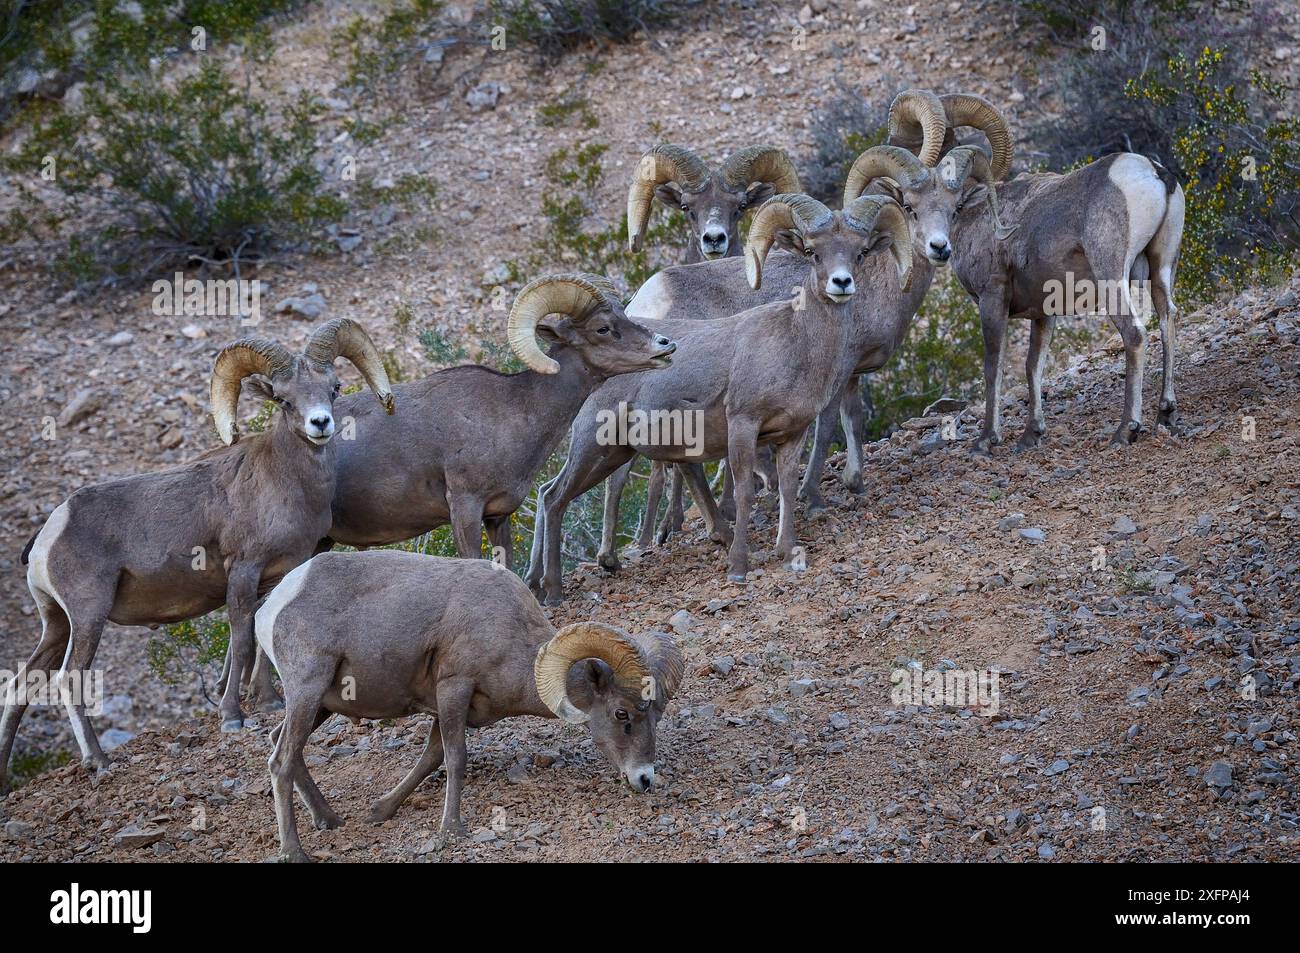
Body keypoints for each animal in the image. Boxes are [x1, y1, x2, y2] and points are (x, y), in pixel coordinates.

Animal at [0, 320, 394, 792]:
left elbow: (260, 639)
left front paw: (266, 702)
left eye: (333, 388)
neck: (285, 482)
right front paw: (232, 716)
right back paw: (98, 761)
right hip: (87, 615)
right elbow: (241, 638)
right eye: (283, 399)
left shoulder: (277, 577)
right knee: (69, 677)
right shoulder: (242, 572)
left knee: (21, 687)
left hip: (56, 623)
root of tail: (50, 530)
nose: (320, 423)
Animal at [254, 550, 683, 862]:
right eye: (622, 714)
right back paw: (293, 852)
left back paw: (329, 819)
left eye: (656, 717)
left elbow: (432, 758)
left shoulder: (446, 709)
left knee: (282, 745)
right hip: (307, 690)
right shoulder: (454, 689)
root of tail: (272, 606)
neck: (512, 639)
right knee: (281, 760)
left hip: (320, 704)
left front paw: (380, 811)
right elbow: (456, 758)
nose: (644, 779)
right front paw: (452, 829)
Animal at [524, 191, 914, 603]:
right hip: (592, 446)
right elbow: (743, 492)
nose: (842, 283)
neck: (796, 343)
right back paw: (554, 591)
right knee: (555, 499)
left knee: (551, 494)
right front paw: (739, 567)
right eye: (812, 252)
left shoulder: (792, 434)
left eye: (859, 253)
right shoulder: (744, 426)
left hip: (614, 453)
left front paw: (786, 550)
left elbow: (787, 487)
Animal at [930, 101, 1187, 450]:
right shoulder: (1044, 313)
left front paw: (986, 441)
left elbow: (993, 367)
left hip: (1113, 277)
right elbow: (1032, 366)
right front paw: (1031, 434)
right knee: (1167, 318)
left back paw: (1125, 431)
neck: (971, 214)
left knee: (1134, 334)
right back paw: (1166, 413)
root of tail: (1154, 173)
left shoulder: (992, 300)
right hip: (1162, 269)